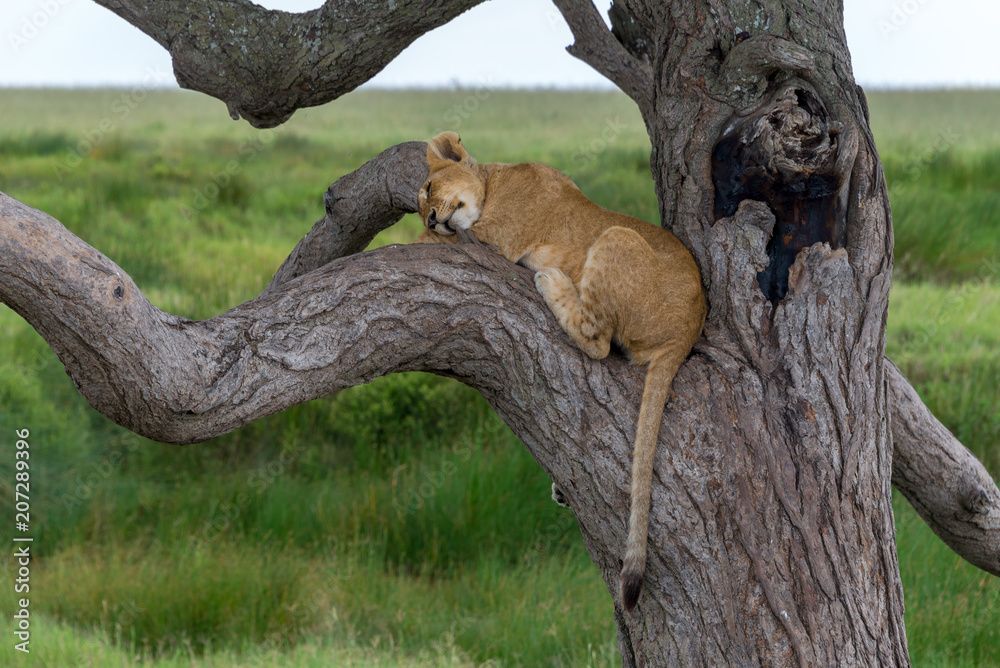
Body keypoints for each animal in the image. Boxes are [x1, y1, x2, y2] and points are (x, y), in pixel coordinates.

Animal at [414, 131, 706, 611]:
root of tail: (688, 330)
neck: (494, 179)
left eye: (428, 191)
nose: (435, 220)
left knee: (598, 341)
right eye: (423, 205)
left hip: (616, 236)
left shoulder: (495, 239)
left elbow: (429, 242)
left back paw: (551, 282)